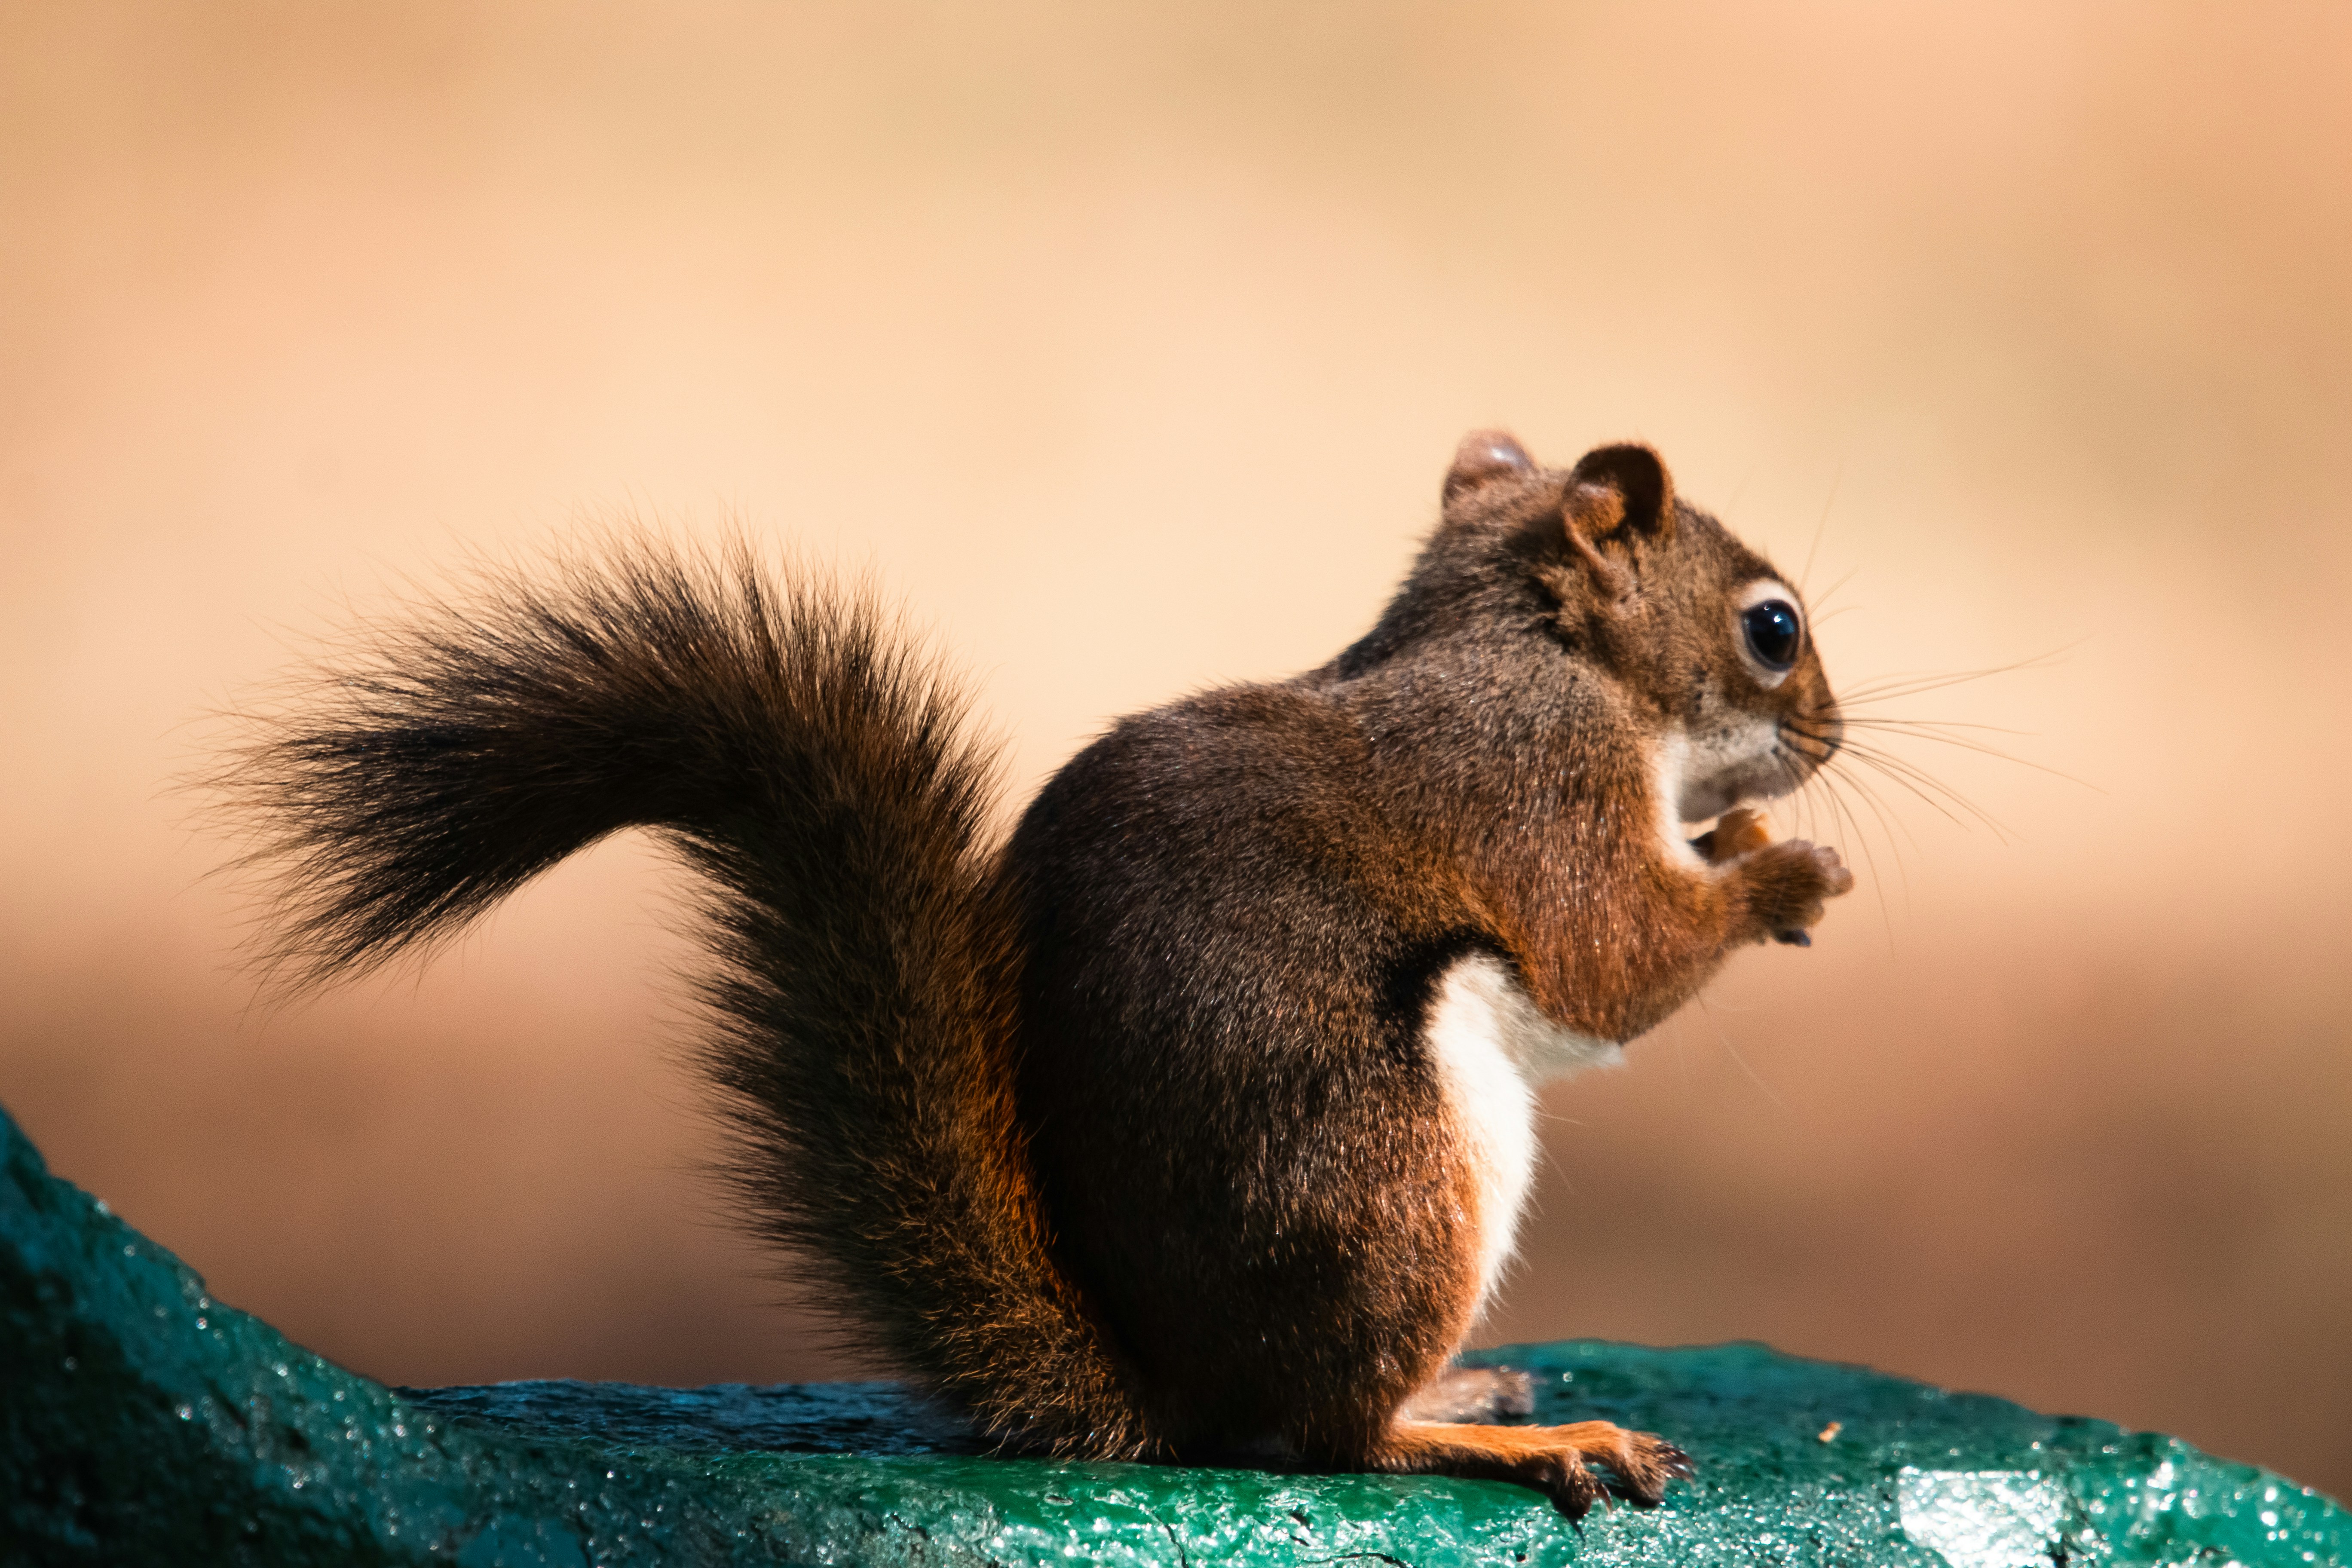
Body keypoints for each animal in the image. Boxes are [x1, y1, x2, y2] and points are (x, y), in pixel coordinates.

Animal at [221, 431, 1851, 1519]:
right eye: (1772, 626)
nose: (1834, 738)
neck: (1537, 649)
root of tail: (1168, 1392)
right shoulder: (1539, 799)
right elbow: (1611, 957)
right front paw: (1782, 873)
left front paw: (1753, 840)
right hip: (1395, 1168)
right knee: (1326, 1436)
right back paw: (1492, 1432)